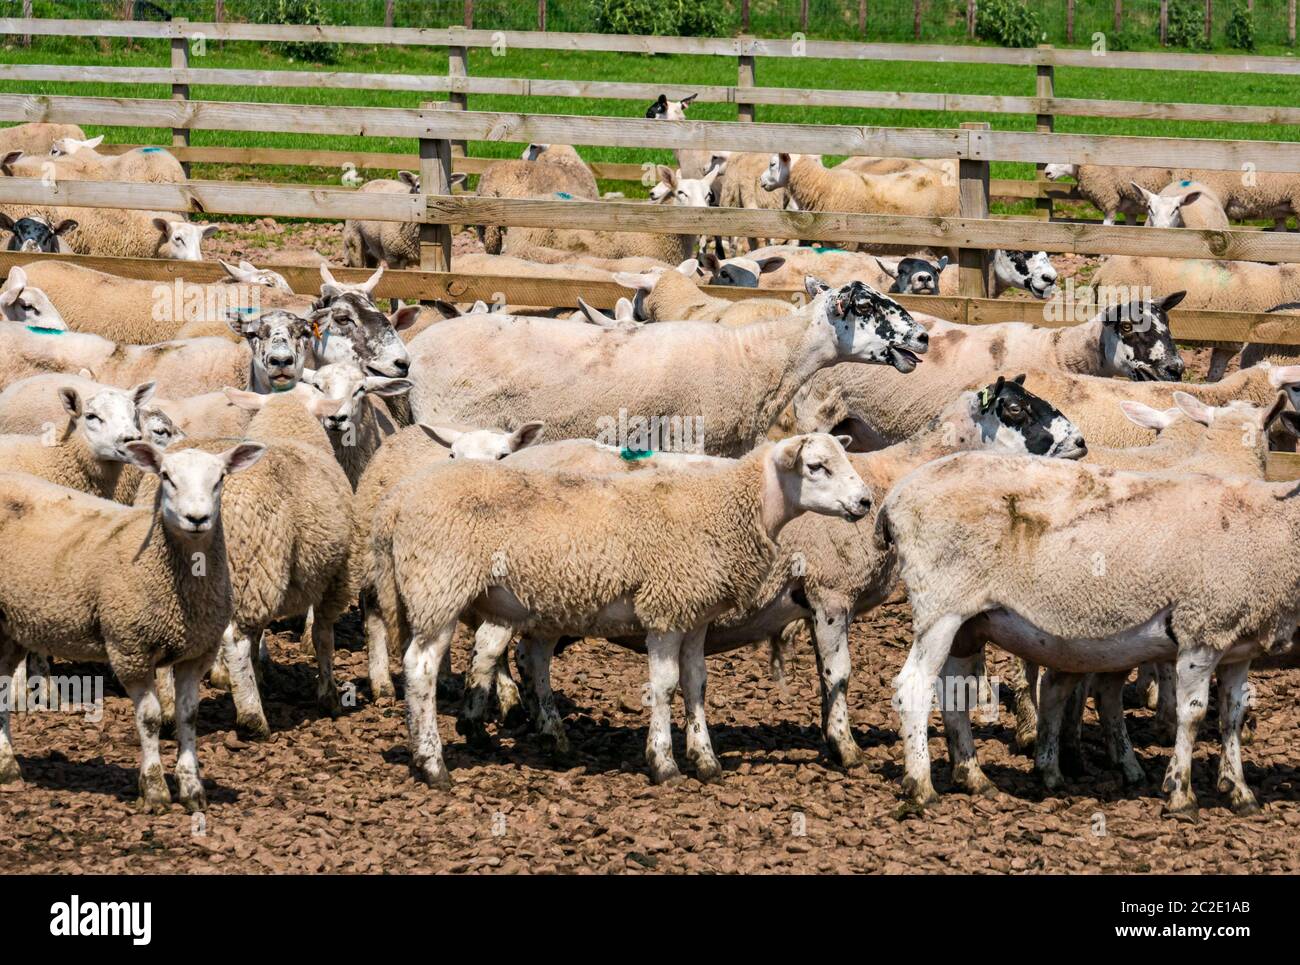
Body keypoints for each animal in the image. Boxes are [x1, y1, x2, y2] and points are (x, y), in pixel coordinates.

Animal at [0, 439, 265, 811]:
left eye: (220, 479)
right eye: (166, 477)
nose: (197, 518)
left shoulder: (196, 652)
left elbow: (188, 715)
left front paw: (192, 789)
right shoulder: (130, 648)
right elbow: (150, 718)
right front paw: (154, 789)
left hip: (12, 628)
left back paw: (7, 767)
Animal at [140, 386, 353, 740]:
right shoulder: (337, 575)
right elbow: (323, 635)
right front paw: (329, 695)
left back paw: (170, 711)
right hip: (255, 562)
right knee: (235, 638)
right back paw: (253, 719)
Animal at [349, 421, 546, 702]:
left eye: (503, 456)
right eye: (453, 455)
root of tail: (406, 429)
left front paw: (506, 693)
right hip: (375, 554)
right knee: (375, 614)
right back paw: (382, 682)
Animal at [370, 431, 871, 787]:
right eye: (816, 467)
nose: (865, 501)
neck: (729, 505)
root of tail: (395, 501)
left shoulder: (695, 612)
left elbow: (696, 684)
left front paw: (705, 760)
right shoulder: (666, 606)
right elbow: (665, 686)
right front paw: (664, 763)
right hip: (439, 587)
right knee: (420, 669)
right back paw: (433, 764)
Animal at [879, 448, 1300, 815]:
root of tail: (895, 497)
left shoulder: (1236, 643)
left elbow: (1232, 716)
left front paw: (1239, 791)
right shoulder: (1200, 630)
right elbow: (1192, 716)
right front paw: (1181, 793)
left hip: (968, 622)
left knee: (953, 691)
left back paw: (973, 777)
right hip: (940, 602)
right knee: (913, 686)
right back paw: (921, 786)